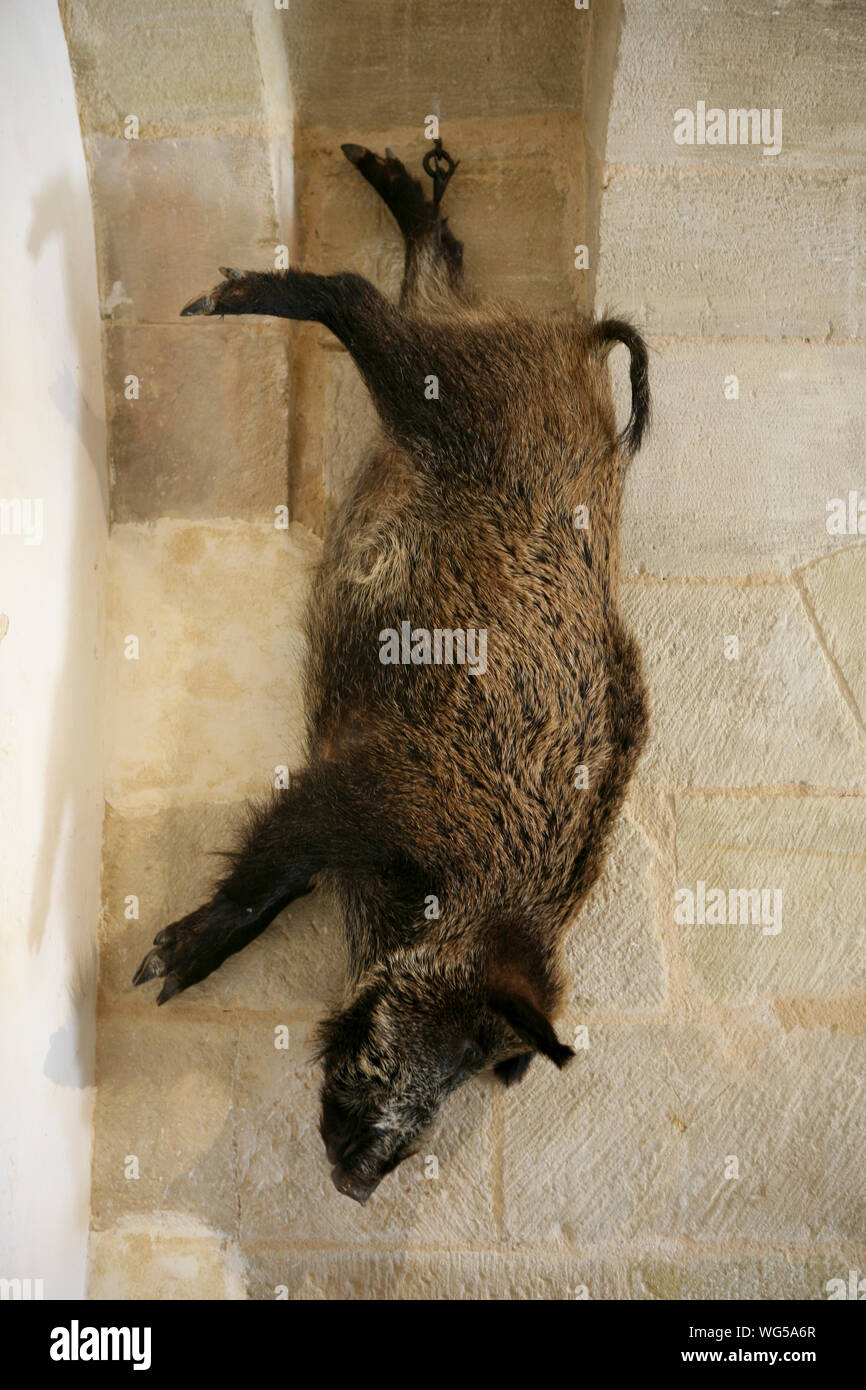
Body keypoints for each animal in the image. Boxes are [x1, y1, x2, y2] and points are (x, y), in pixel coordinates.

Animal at [133, 142, 650, 1204]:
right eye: (463, 1038)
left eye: (474, 1065)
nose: (361, 1185)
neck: (474, 889)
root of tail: (565, 340)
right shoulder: (371, 786)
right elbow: (272, 872)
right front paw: (156, 975)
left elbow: (281, 878)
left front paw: (158, 973)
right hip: (444, 388)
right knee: (361, 297)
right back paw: (217, 300)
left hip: (446, 355)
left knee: (433, 264)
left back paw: (389, 173)